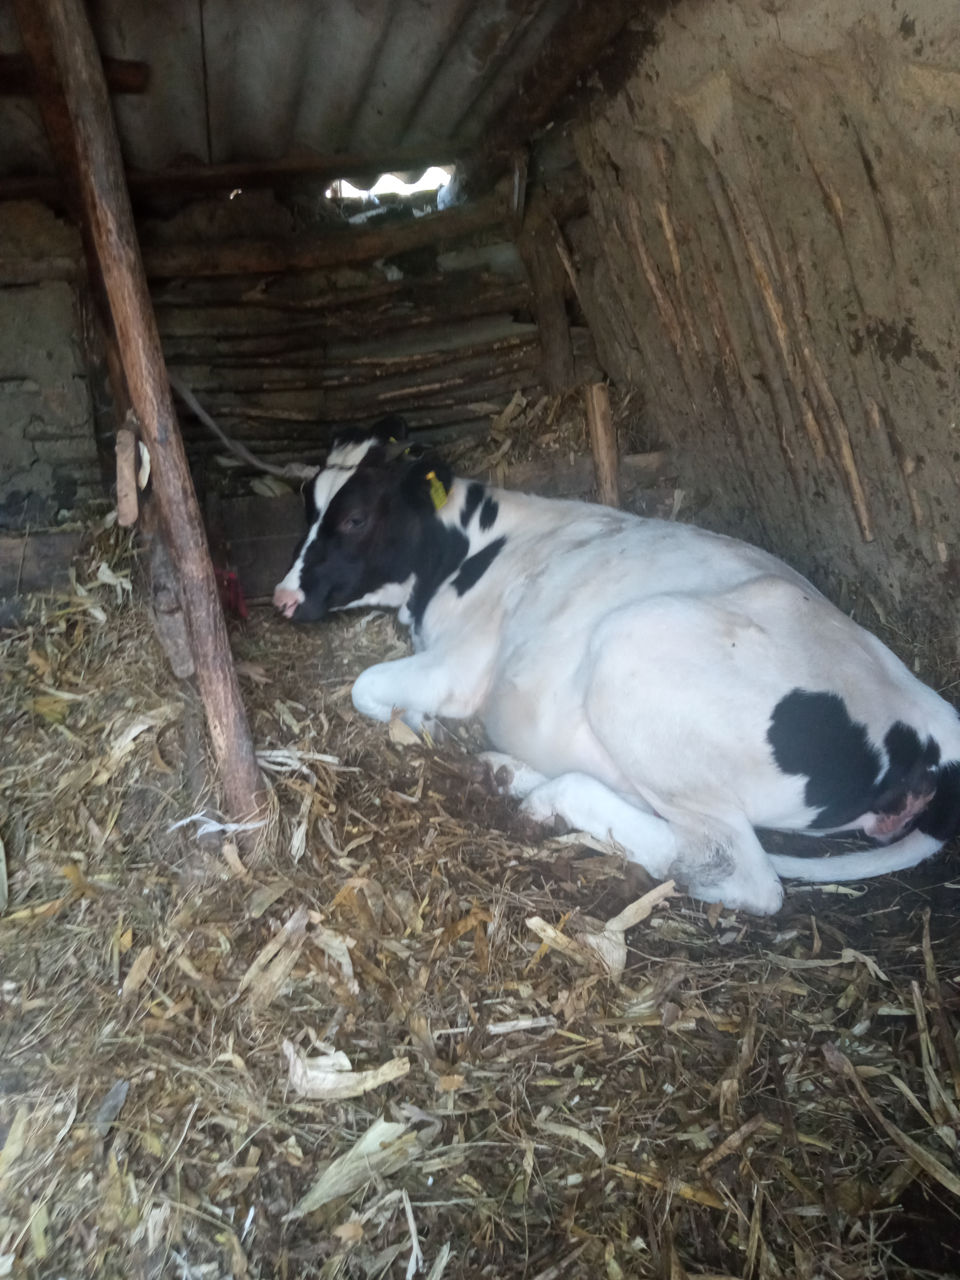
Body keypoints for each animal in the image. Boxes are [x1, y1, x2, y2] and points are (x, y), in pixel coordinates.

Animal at [273, 421, 960, 915]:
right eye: (308, 507)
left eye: (356, 517)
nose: (282, 596)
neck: (467, 547)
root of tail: (930, 721)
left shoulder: (460, 666)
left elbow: (368, 686)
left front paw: (424, 726)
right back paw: (509, 774)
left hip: (632, 649)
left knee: (737, 869)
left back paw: (541, 793)